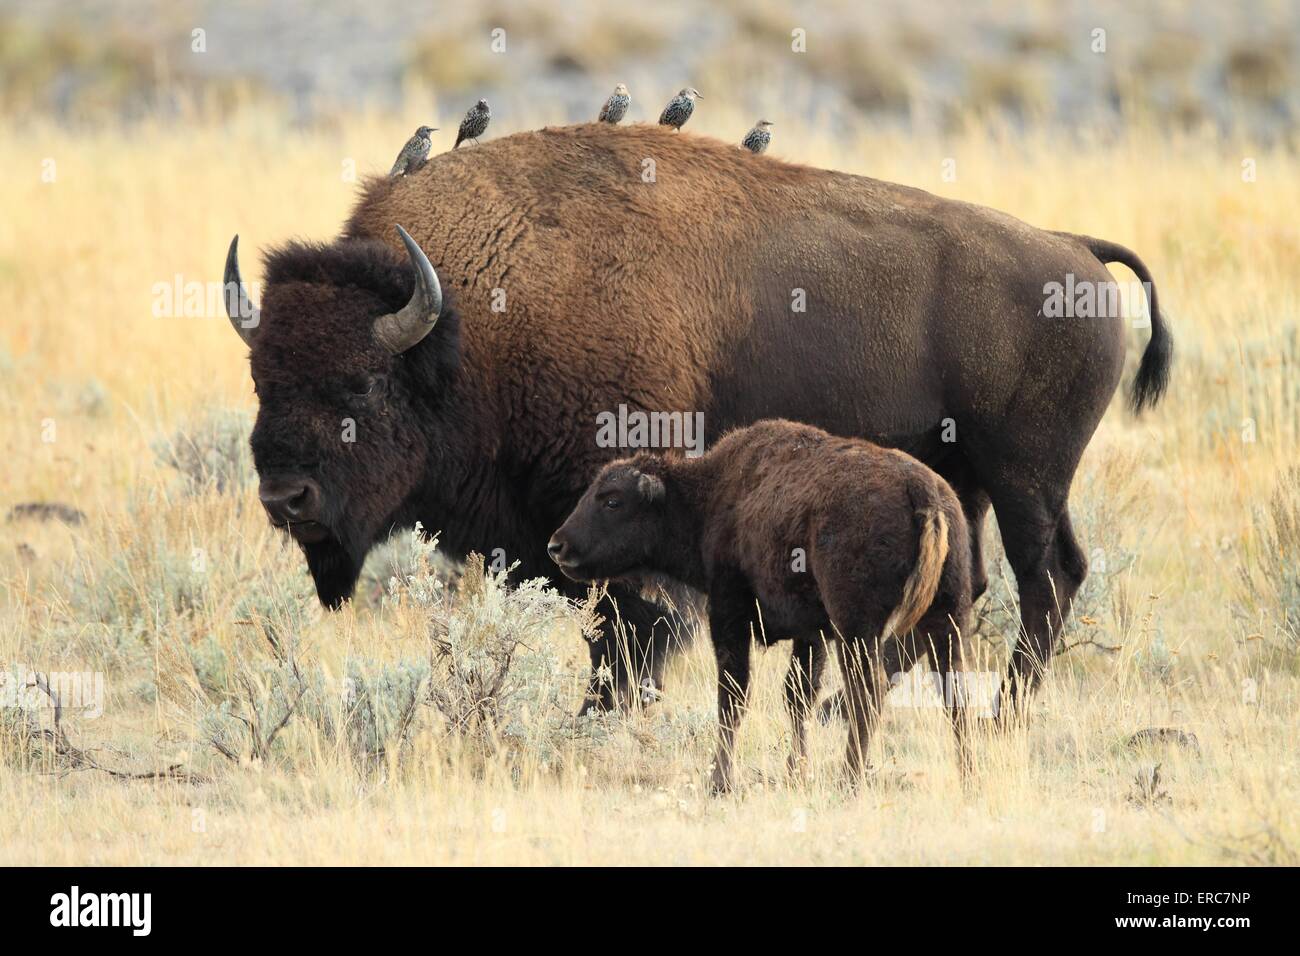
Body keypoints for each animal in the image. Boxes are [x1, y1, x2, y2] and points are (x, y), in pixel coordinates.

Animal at [222, 122, 1171, 719]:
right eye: (262, 377)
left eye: (359, 385)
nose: (285, 498)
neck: (471, 320)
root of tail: (1074, 247)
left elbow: (629, 630)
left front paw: (597, 718)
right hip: (969, 483)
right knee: (983, 587)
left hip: (1024, 478)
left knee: (1046, 581)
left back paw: (1004, 710)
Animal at [547, 419, 972, 790]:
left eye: (612, 501)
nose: (558, 546)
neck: (712, 495)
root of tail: (923, 493)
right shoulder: (811, 634)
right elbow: (797, 697)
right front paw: (795, 774)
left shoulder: (729, 614)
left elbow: (733, 697)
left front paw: (720, 782)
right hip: (947, 618)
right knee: (956, 695)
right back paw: (969, 779)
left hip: (857, 628)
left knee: (867, 692)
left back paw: (849, 782)